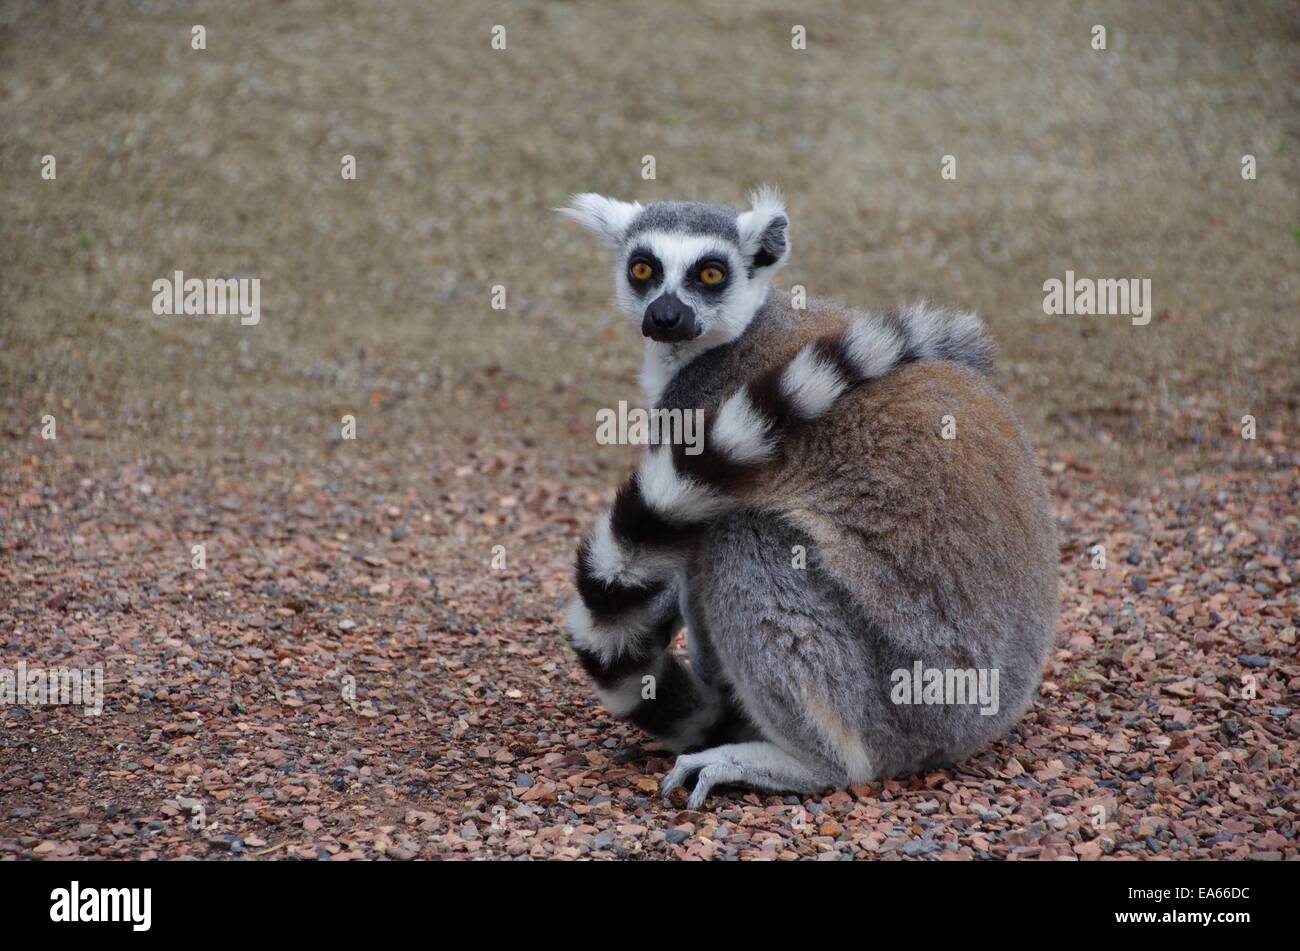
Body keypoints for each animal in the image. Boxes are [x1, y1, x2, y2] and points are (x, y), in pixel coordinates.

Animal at [558, 189, 1058, 809]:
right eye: (643, 269)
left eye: (710, 274)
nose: (666, 317)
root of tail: (981, 722)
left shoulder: (693, 413)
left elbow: (690, 549)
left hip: (899, 698)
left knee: (742, 543)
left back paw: (801, 762)